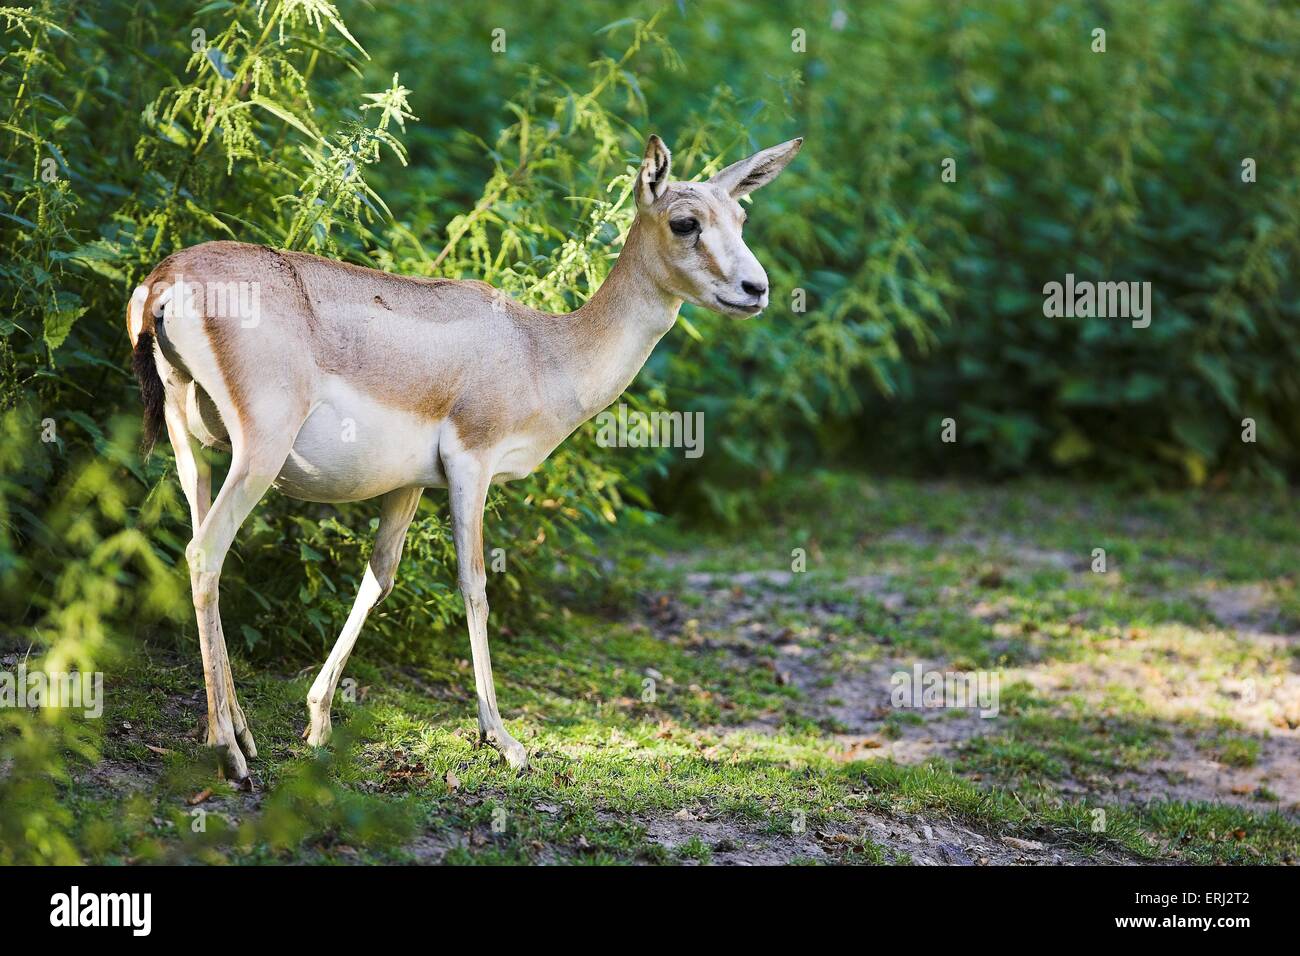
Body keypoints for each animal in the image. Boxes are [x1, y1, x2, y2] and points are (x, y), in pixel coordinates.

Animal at [127, 133, 802, 781]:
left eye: (740, 215)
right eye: (685, 222)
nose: (757, 289)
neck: (540, 349)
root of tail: (164, 281)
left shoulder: (407, 485)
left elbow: (379, 577)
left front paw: (318, 721)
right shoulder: (471, 465)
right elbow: (473, 584)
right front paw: (504, 741)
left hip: (194, 450)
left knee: (200, 548)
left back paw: (237, 732)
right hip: (259, 452)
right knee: (205, 552)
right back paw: (229, 752)